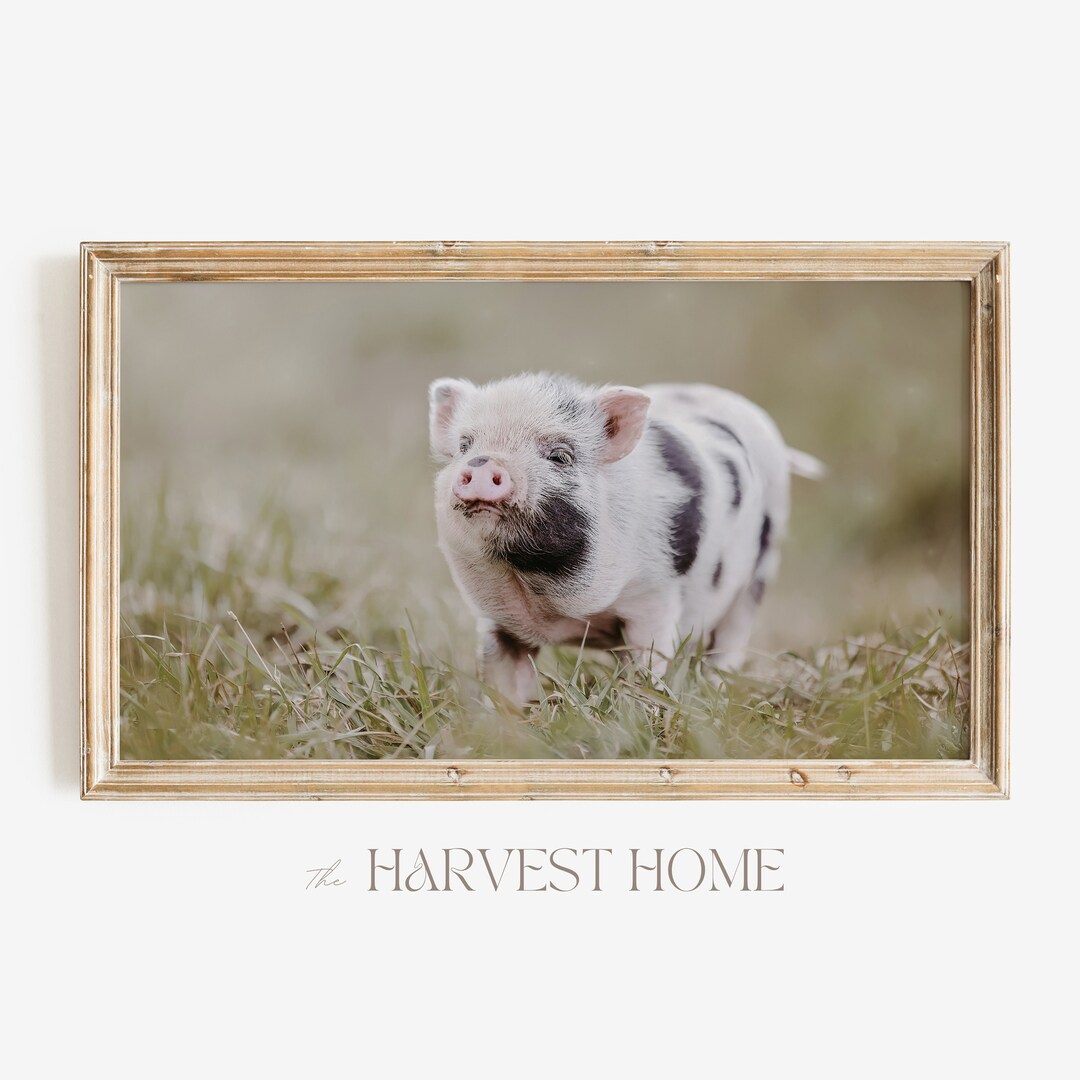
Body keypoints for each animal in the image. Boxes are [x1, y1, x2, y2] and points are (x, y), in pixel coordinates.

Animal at [428, 373, 823, 705]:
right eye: (464, 446)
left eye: (560, 456)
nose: (483, 463)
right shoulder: (497, 620)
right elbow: (503, 682)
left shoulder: (655, 598)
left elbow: (649, 662)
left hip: (761, 570)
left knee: (731, 640)